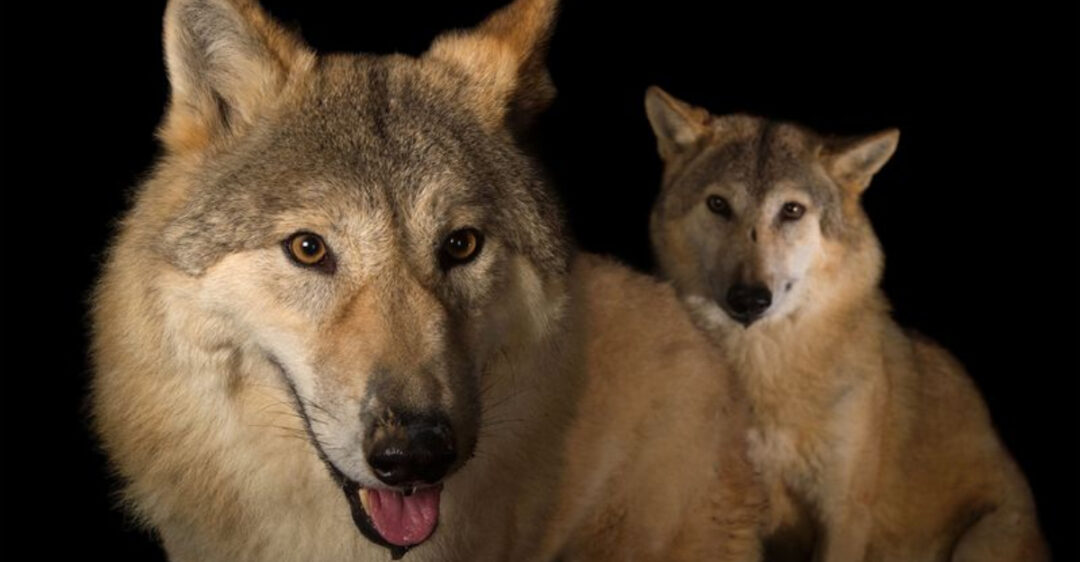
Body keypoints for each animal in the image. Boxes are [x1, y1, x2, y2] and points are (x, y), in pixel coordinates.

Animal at [644, 86, 1048, 562]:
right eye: (718, 204)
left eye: (792, 210)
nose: (749, 299)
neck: (768, 371)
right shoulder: (736, 512)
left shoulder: (844, 514)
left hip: (979, 544)